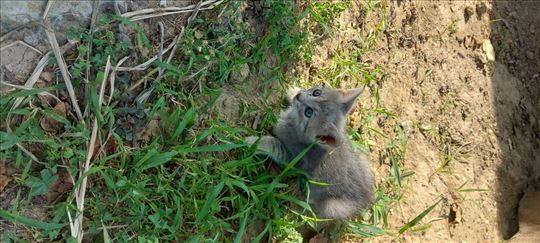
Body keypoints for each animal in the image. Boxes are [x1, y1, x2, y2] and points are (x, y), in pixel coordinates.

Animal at [247, 87, 374, 218]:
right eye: (316, 92)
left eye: (308, 112)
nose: (299, 96)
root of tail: (366, 200)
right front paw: (293, 91)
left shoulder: (294, 160)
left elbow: (274, 145)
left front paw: (254, 143)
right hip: (361, 157)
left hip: (333, 206)